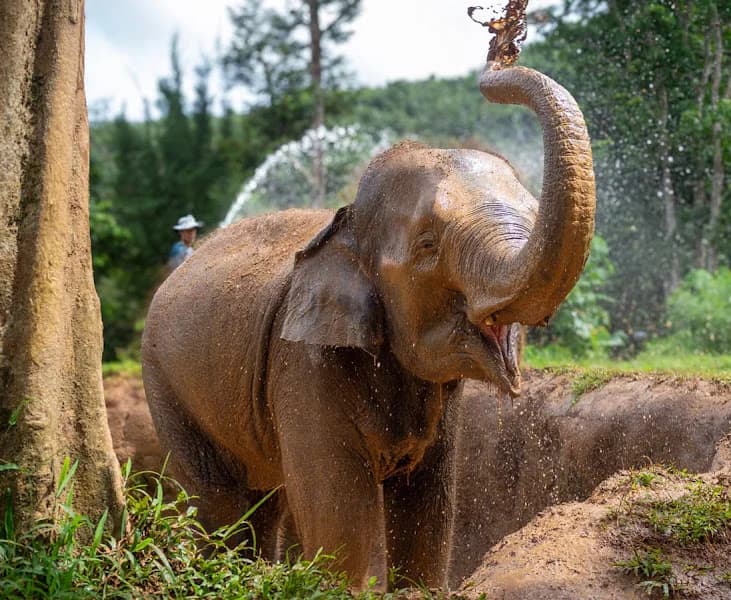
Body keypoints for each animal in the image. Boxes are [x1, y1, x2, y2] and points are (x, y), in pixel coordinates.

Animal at [141, 61, 595, 590]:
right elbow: (340, 517)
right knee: (221, 504)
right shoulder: (303, 358)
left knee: (266, 502)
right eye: (427, 246)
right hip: (168, 387)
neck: (348, 224)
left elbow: (428, 506)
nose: (494, 62)